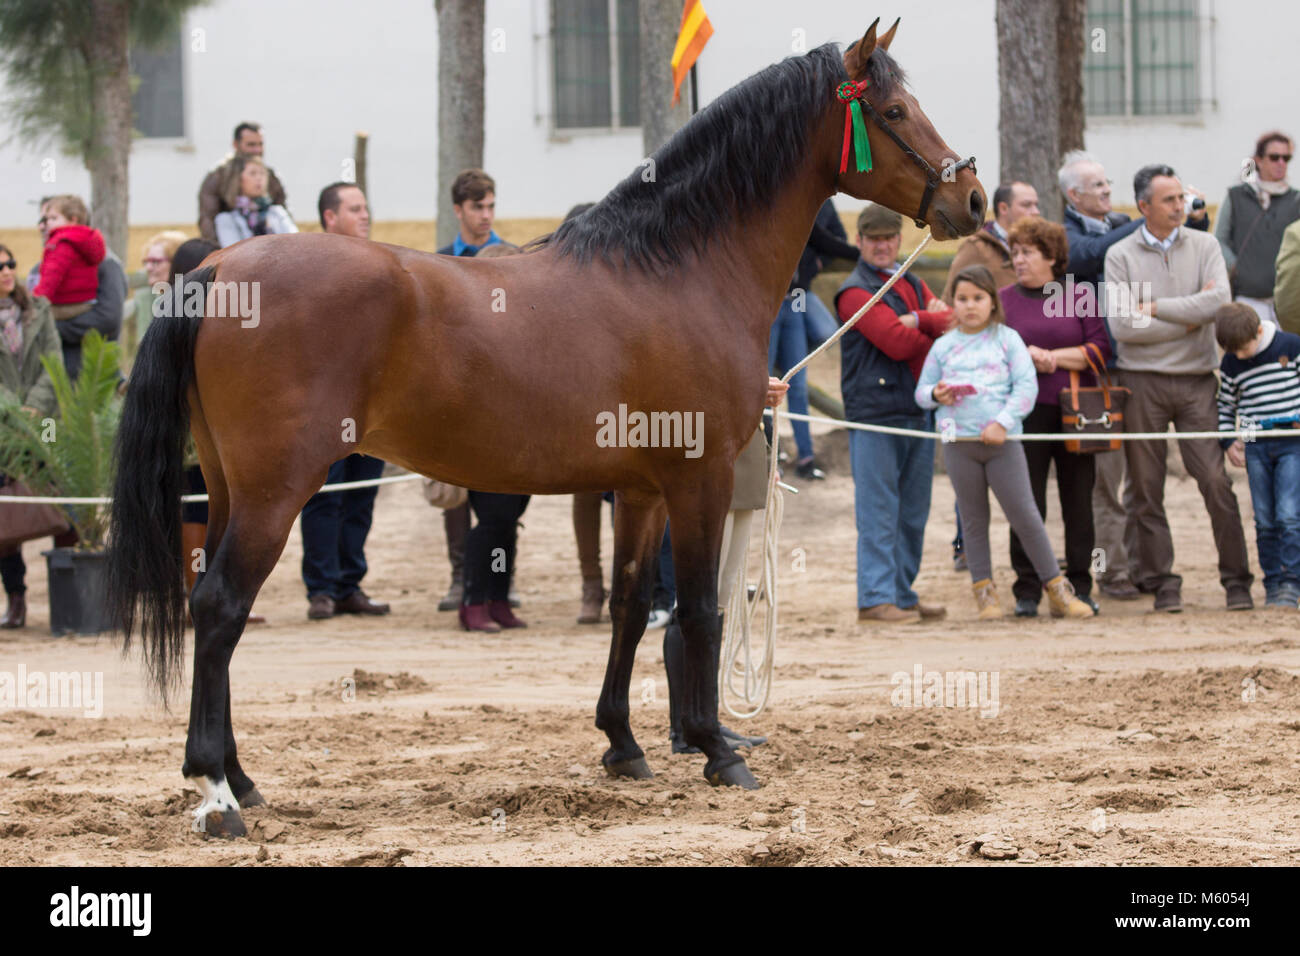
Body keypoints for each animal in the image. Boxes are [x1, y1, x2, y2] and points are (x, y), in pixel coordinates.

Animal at [106, 18, 985, 838]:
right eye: (895, 110)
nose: (971, 200)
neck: (678, 270)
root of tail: (218, 268)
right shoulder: (697, 478)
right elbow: (700, 610)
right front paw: (716, 751)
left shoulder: (641, 490)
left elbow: (631, 606)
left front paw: (624, 745)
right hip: (277, 491)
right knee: (221, 607)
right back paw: (217, 793)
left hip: (229, 489)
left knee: (213, 611)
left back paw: (241, 777)